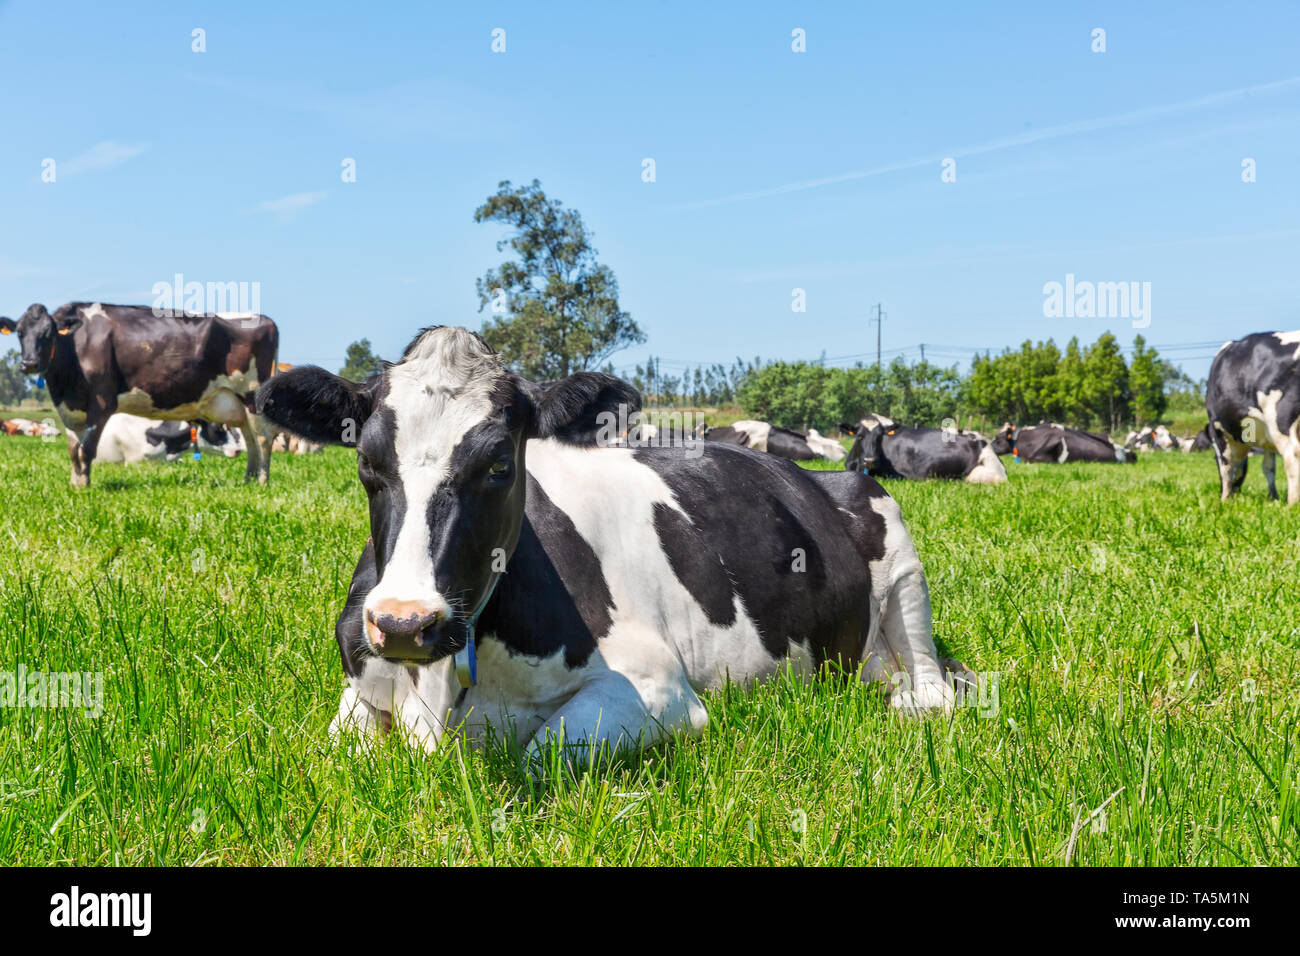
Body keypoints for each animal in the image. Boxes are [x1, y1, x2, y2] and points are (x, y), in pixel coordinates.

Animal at [254, 326, 964, 758]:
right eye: (366, 464)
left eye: (500, 464)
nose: (405, 623)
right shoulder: (359, 684)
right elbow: (335, 747)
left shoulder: (657, 688)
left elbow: (544, 751)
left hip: (902, 561)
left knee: (932, 685)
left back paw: (909, 699)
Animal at [1206, 330, 1300, 503]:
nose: (1235, 493)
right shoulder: (1267, 439)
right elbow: (1269, 468)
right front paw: (1273, 497)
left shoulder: (1218, 429)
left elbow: (1226, 466)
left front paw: (1224, 499)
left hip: (1280, 417)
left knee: (1292, 454)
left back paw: (1292, 503)